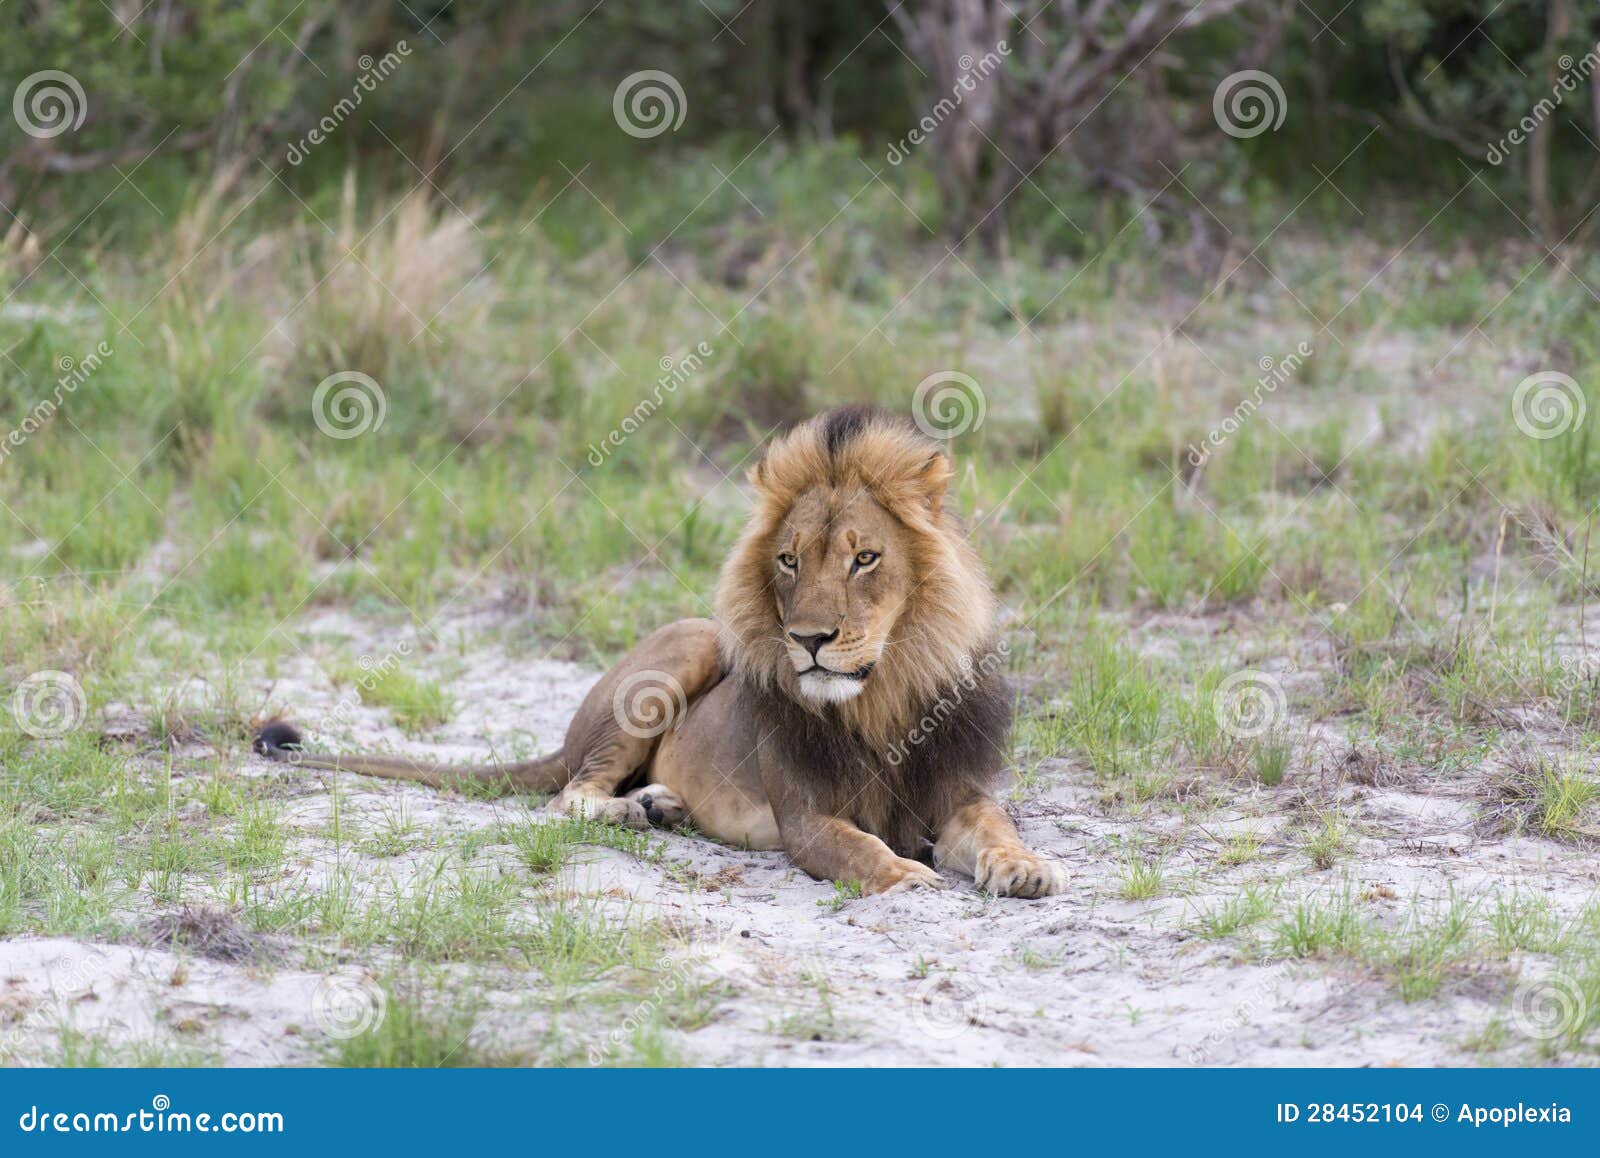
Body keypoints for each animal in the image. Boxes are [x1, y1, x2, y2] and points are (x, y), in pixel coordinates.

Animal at [255, 406, 1068, 897]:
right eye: (789, 561)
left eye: (864, 559)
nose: (807, 640)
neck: (882, 696)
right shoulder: (806, 818)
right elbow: (857, 850)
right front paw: (909, 875)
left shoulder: (958, 789)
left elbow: (995, 824)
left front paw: (1025, 868)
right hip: (679, 653)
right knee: (568, 795)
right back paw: (628, 811)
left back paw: (661, 804)